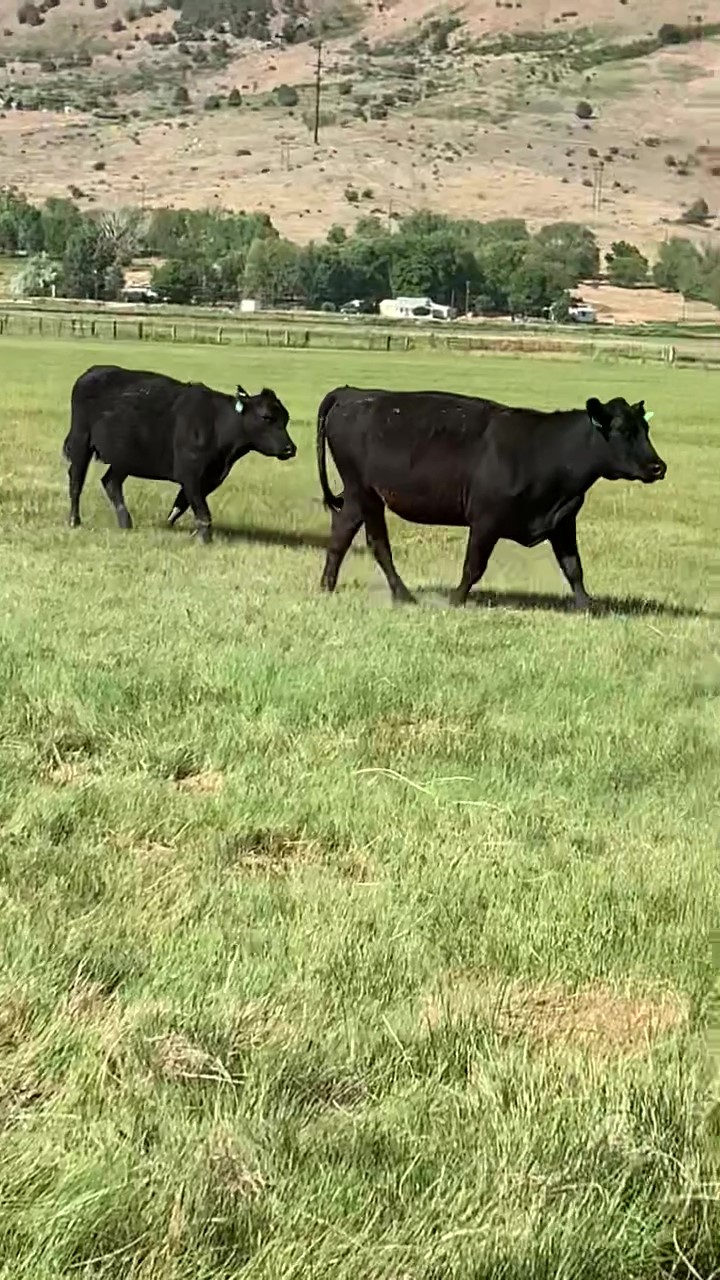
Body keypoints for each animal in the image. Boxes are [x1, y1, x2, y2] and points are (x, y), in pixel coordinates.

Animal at [63, 364, 296, 542]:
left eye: (286, 418)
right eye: (266, 417)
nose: (290, 448)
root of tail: (93, 372)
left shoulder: (209, 478)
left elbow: (182, 504)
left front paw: (169, 527)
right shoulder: (190, 473)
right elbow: (202, 511)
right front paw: (205, 540)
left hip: (124, 458)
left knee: (111, 482)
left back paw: (126, 522)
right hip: (81, 442)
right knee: (76, 482)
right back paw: (74, 521)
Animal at [316, 386, 666, 608]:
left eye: (645, 430)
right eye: (623, 431)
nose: (658, 467)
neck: (545, 450)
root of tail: (352, 394)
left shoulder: (563, 521)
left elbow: (573, 567)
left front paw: (587, 604)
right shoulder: (485, 521)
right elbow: (474, 566)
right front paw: (456, 600)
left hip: (360, 498)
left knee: (347, 537)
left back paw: (334, 587)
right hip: (363, 493)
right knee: (370, 542)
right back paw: (396, 594)